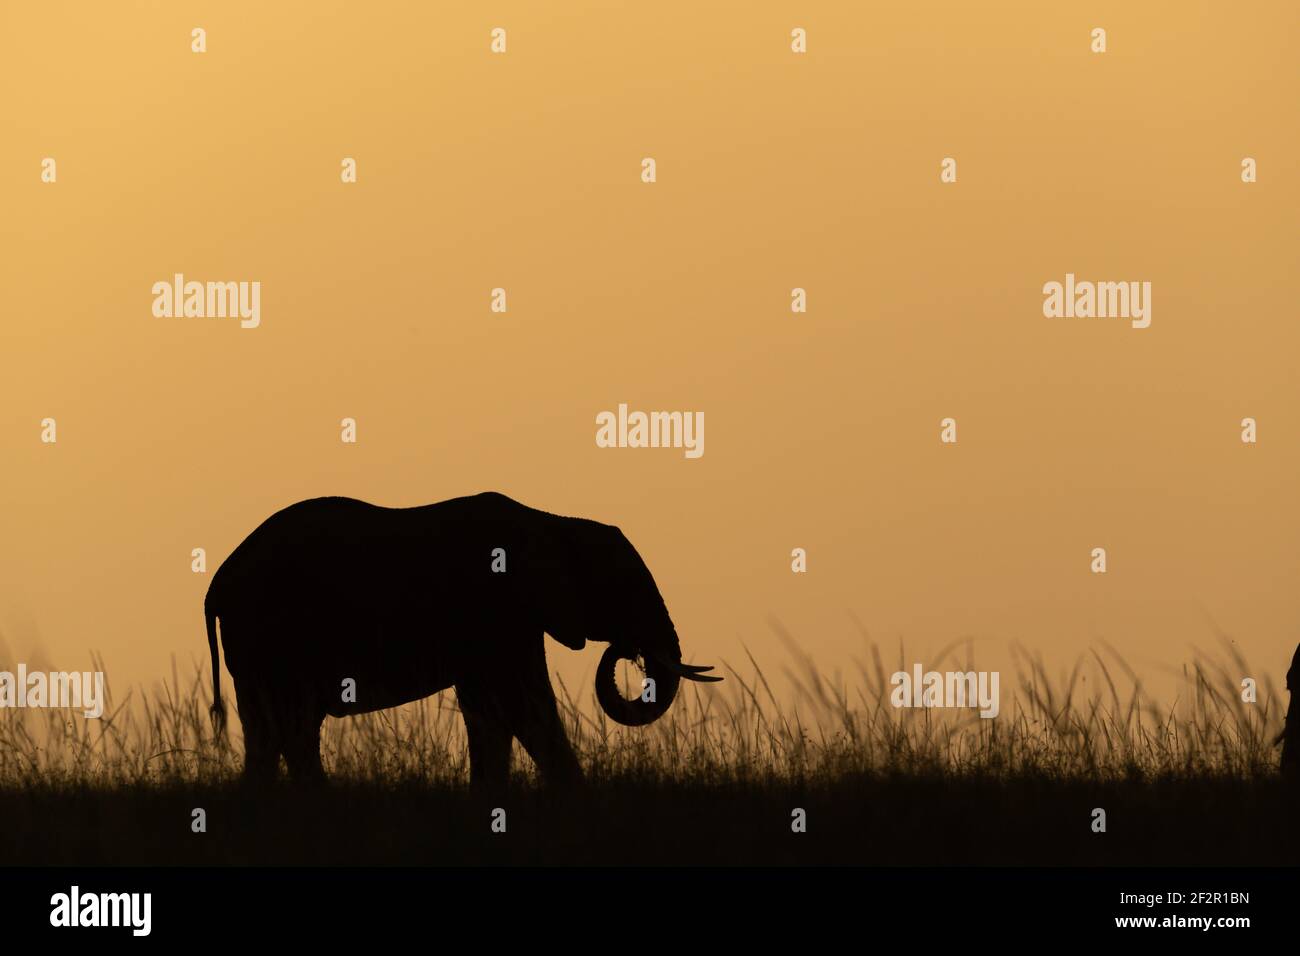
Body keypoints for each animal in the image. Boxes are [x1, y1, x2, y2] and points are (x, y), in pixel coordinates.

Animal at [204, 491, 720, 787]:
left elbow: (489, 712)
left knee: (277, 728)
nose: (631, 650)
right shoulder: (500, 611)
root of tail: (218, 582)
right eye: (626, 587)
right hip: (270, 635)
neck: (554, 523)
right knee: (287, 725)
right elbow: (525, 706)